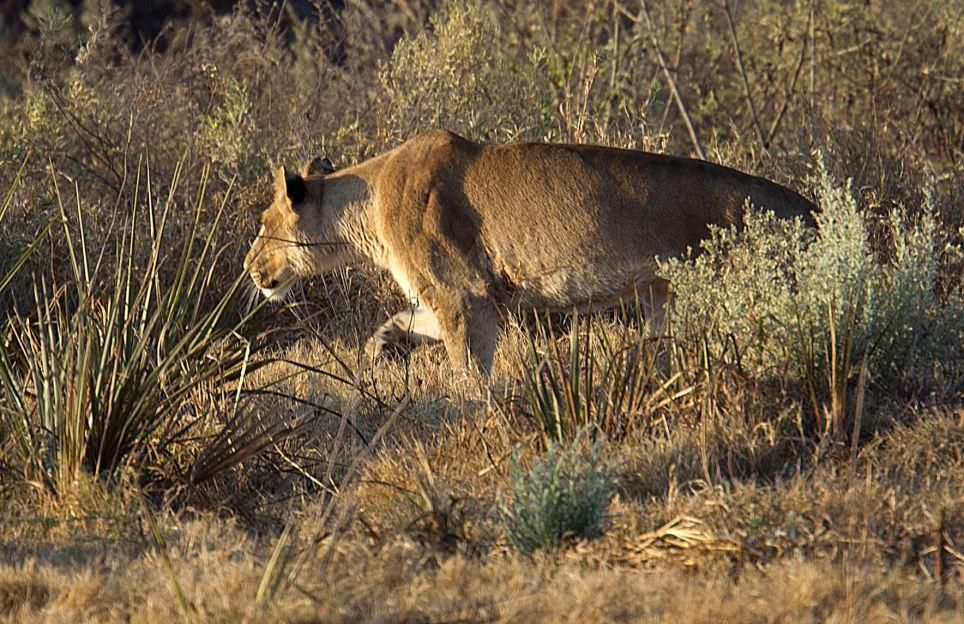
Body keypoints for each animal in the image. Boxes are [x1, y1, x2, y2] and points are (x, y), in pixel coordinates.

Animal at [245, 129, 816, 376]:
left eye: (263, 225)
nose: (250, 268)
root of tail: (809, 207)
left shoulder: (463, 293)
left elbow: (470, 371)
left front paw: (473, 414)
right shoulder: (471, 297)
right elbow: (408, 320)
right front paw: (381, 347)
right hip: (663, 302)